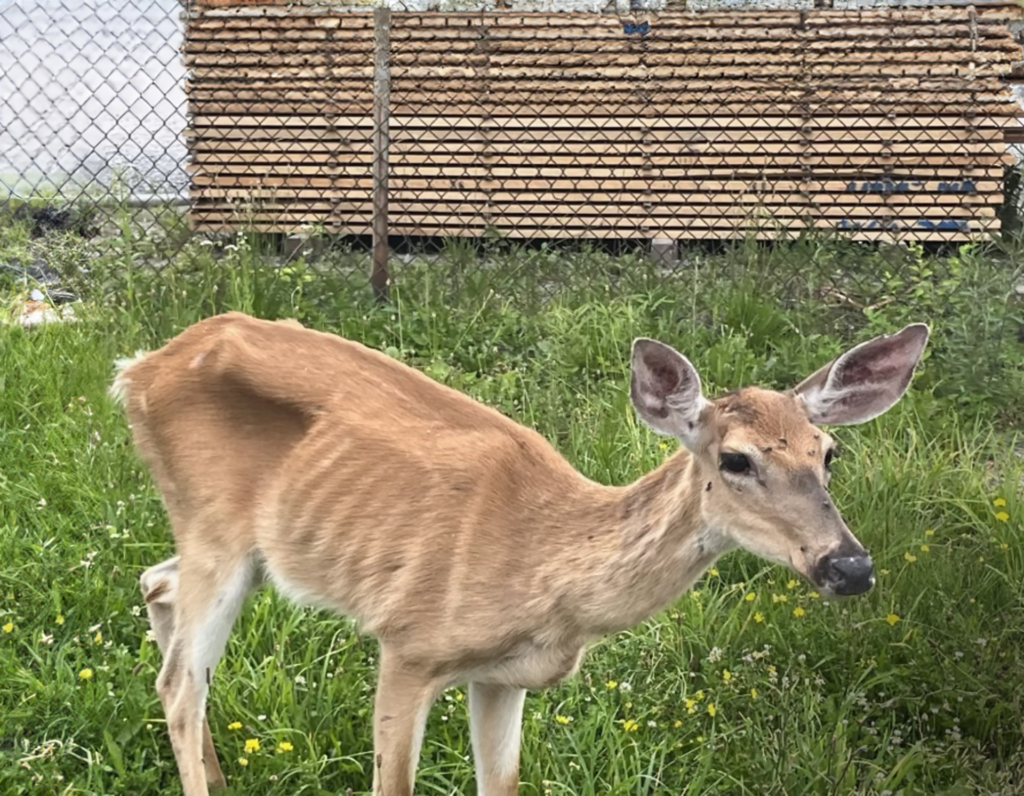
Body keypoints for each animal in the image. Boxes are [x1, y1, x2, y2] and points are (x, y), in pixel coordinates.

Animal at [110, 311, 929, 796]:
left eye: (829, 454)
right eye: (735, 459)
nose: (848, 565)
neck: (548, 578)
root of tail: (136, 368)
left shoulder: (505, 678)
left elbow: (498, 784)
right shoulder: (408, 644)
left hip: (236, 543)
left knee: (158, 586)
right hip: (215, 525)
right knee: (178, 681)